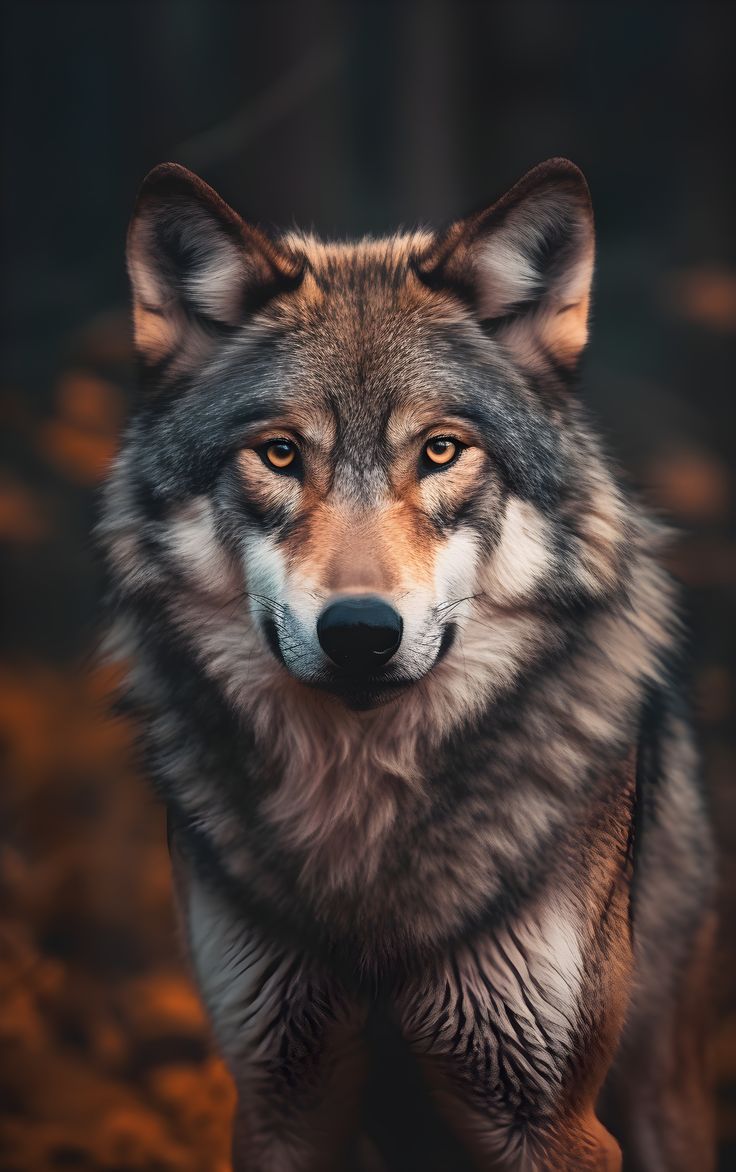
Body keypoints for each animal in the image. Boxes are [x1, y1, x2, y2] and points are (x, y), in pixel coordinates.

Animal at [99, 158, 715, 1171]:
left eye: (440, 450)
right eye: (280, 453)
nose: (359, 631)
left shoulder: (551, 1122)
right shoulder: (280, 1097)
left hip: (662, 1093)